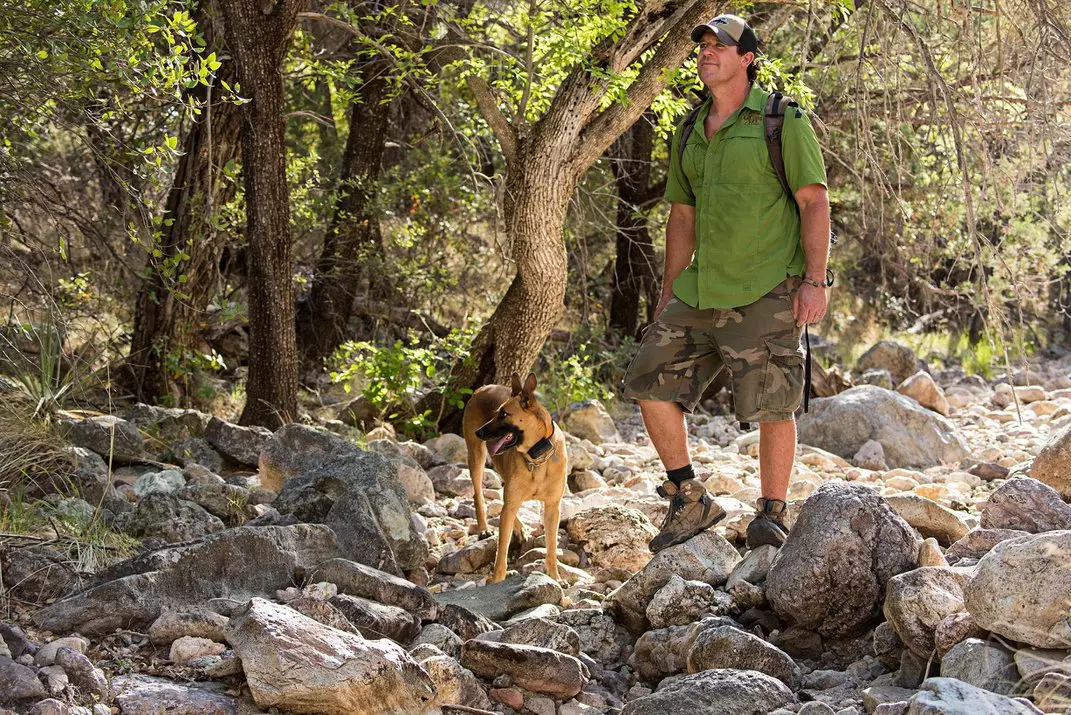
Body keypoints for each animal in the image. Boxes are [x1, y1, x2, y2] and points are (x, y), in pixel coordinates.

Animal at [464, 372, 574, 582]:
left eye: (504, 414)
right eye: (497, 412)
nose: (478, 432)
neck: (536, 458)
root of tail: (483, 388)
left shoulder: (552, 509)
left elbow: (552, 548)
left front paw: (555, 578)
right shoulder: (512, 503)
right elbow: (501, 552)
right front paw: (497, 581)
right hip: (476, 456)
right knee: (478, 493)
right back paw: (483, 528)